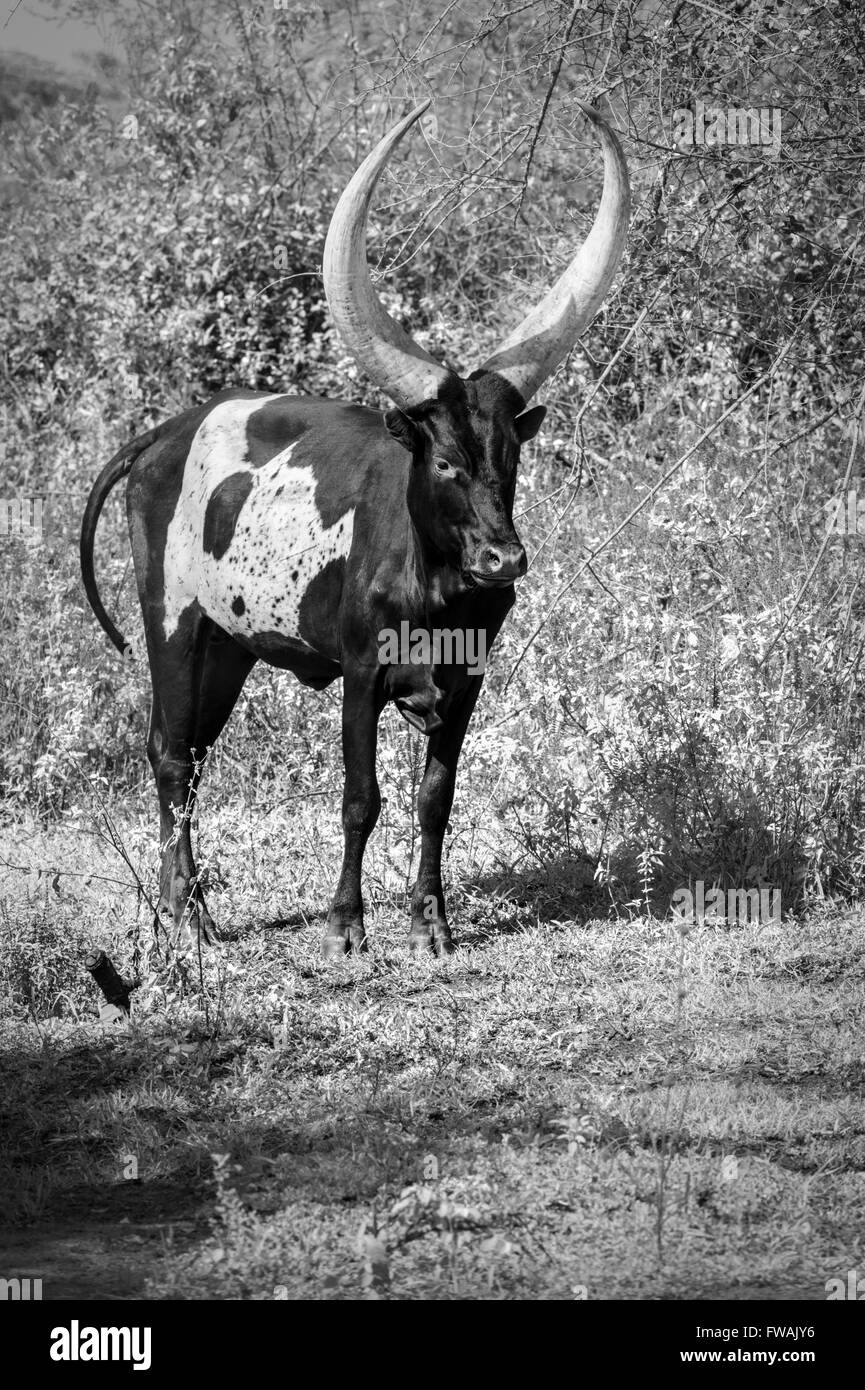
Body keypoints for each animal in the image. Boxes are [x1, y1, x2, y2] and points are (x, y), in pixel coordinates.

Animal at [80, 100, 629, 959]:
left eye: (510, 458)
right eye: (444, 460)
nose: (503, 560)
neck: (436, 584)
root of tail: (167, 431)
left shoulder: (467, 681)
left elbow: (436, 798)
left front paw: (430, 919)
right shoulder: (363, 673)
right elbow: (360, 797)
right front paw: (345, 924)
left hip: (230, 648)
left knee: (191, 754)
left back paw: (189, 910)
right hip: (174, 625)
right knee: (169, 757)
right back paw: (184, 920)